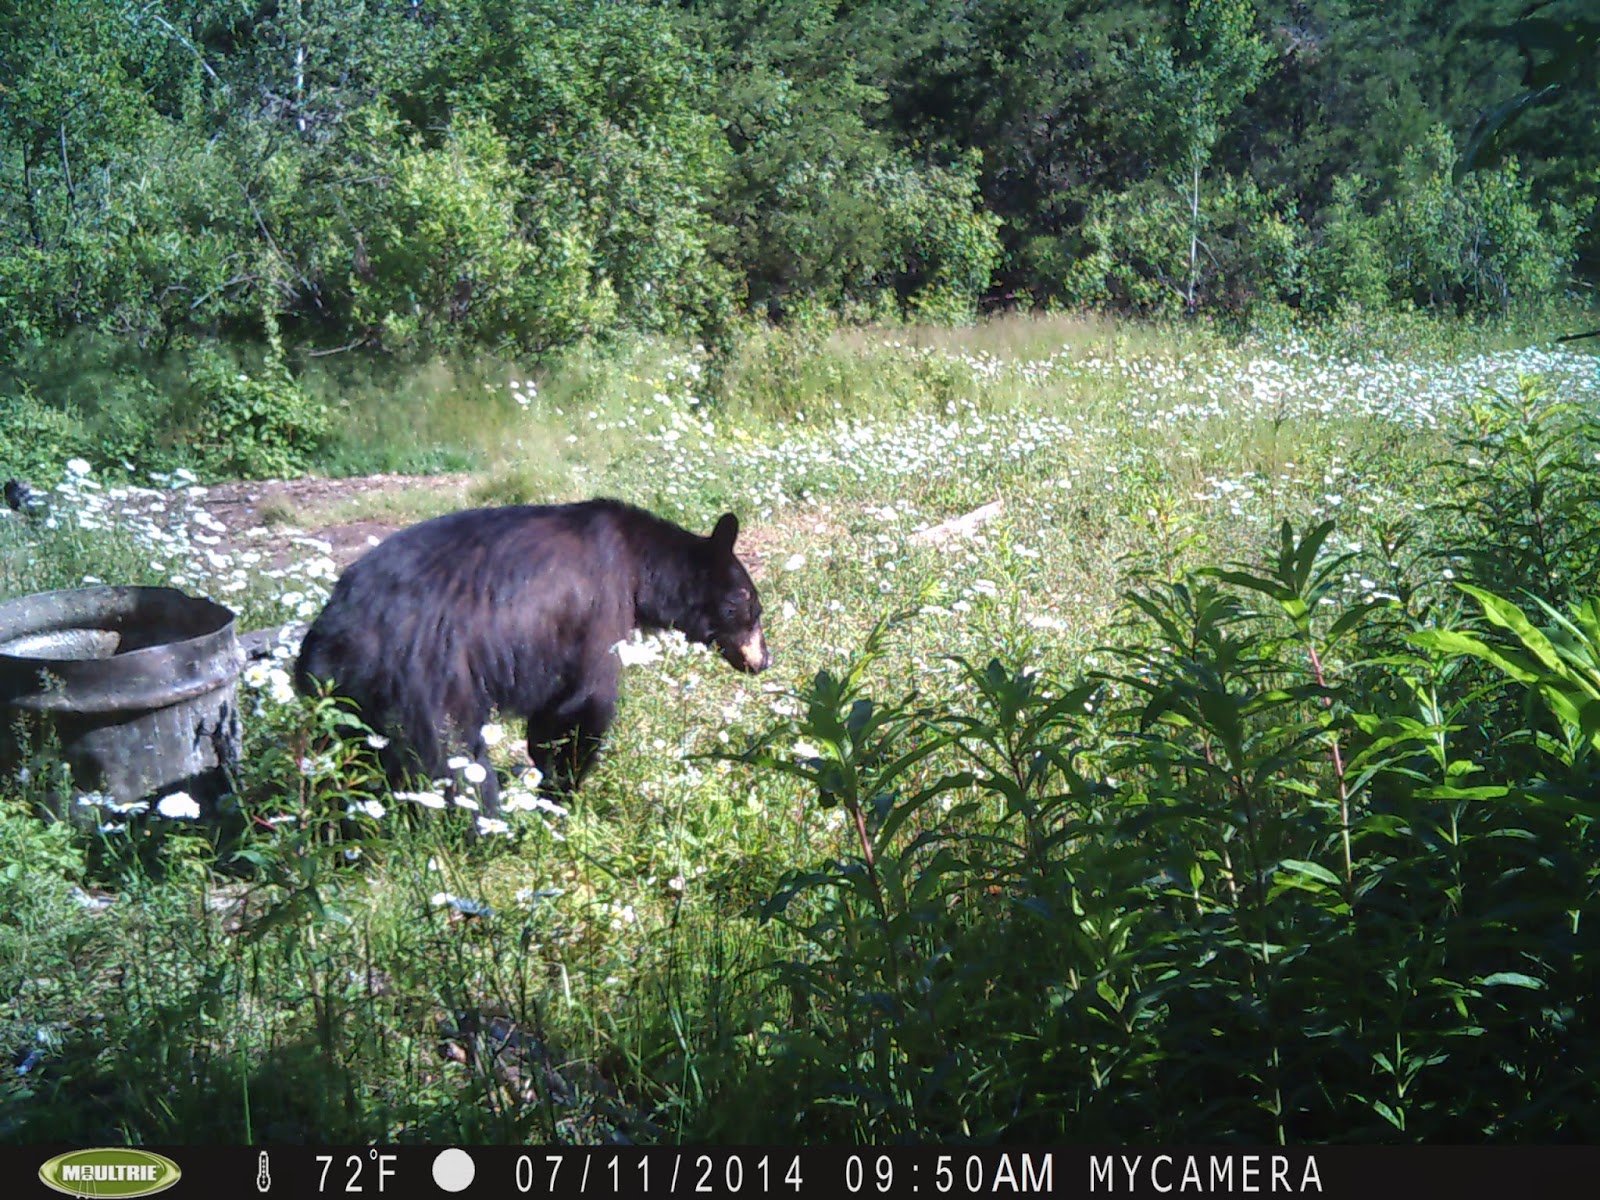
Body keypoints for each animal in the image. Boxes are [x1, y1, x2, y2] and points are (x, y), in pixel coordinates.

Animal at [292, 498, 770, 814]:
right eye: (753, 607)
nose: (765, 659)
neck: (640, 565)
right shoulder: (601, 606)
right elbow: (582, 703)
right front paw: (562, 795)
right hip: (423, 682)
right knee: (452, 762)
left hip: (342, 707)